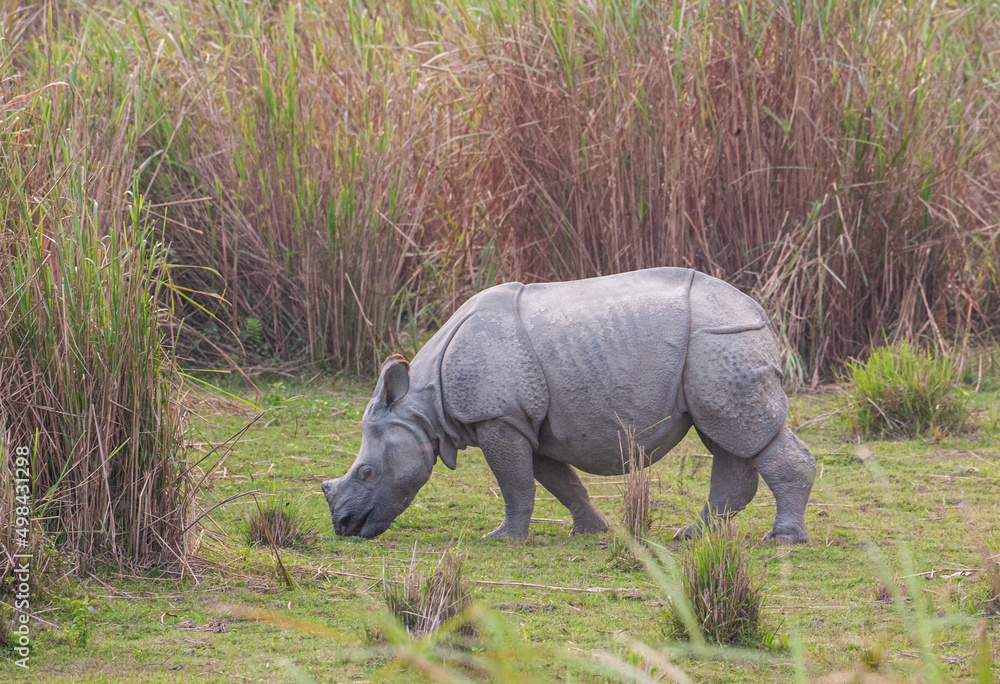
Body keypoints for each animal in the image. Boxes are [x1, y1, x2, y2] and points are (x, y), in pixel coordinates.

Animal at [321, 267, 816, 543]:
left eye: (367, 473)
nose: (343, 526)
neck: (425, 406)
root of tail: (757, 310)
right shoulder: (527, 424)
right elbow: (559, 481)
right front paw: (590, 531)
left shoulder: (499, 418)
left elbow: (515, 483)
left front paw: (501, 539)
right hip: (717, 344)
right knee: (727, 438)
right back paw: (691, 536)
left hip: (720, 338)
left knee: (745, 434)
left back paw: (782, 540)